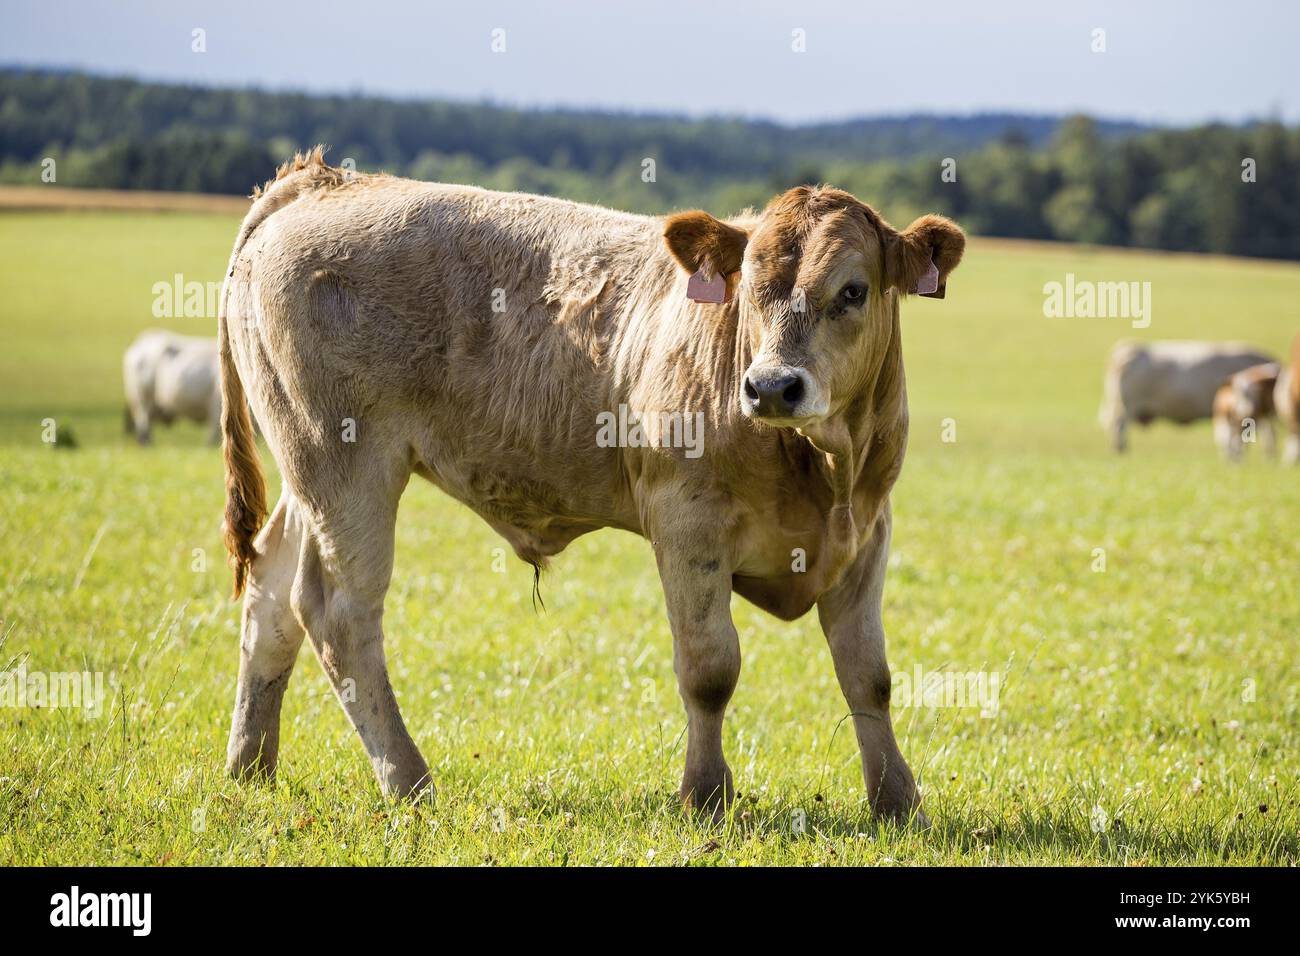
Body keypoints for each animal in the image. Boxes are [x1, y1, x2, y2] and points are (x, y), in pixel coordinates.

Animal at [217, 148, 964, 824]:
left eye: (853, 291)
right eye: (752, 289)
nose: (773, 386)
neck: (823, 467)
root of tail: (323, 181)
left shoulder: (868, 530)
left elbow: (869, 674)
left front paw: (898, 801)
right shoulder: (687, 523)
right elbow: (709, 668)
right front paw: (705, 797)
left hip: (306, 472)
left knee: (273, 590)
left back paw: (251, 765)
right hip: (345, 466)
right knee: (341, 614)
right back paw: (408, 781)